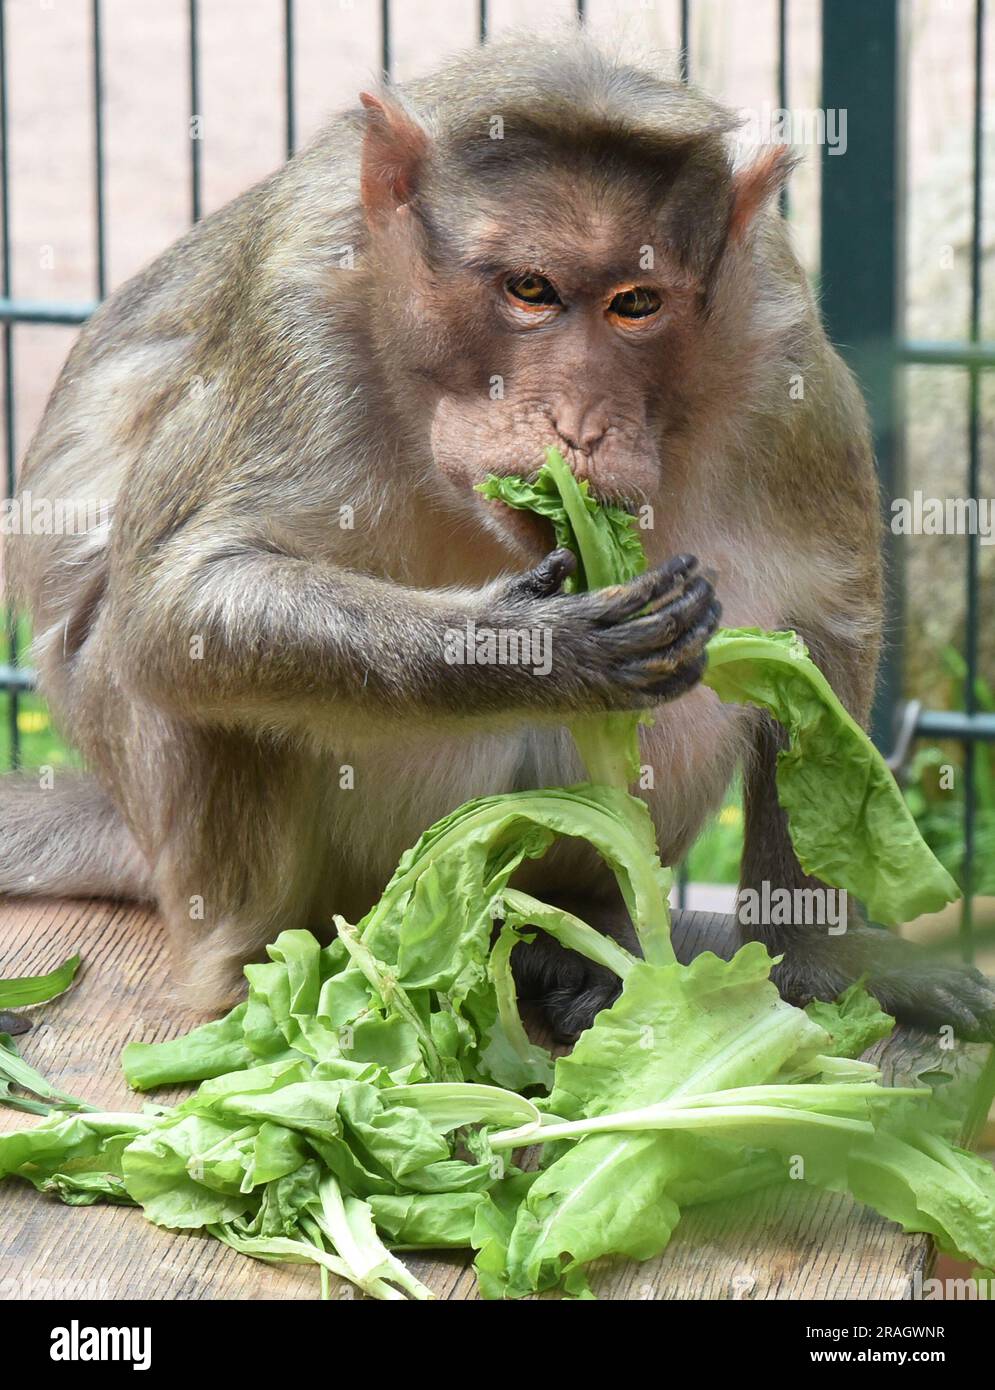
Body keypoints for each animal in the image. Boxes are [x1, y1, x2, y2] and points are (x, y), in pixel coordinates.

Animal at [3, 32, 993, 1042]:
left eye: (636, 303)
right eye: (529, 289)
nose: (578, 425)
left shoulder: (779, 353)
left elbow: (820, 629)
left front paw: (821, 957)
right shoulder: (296, 322)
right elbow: (173, 610)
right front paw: (532, 648)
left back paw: (575, 943)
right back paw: (302, 977)